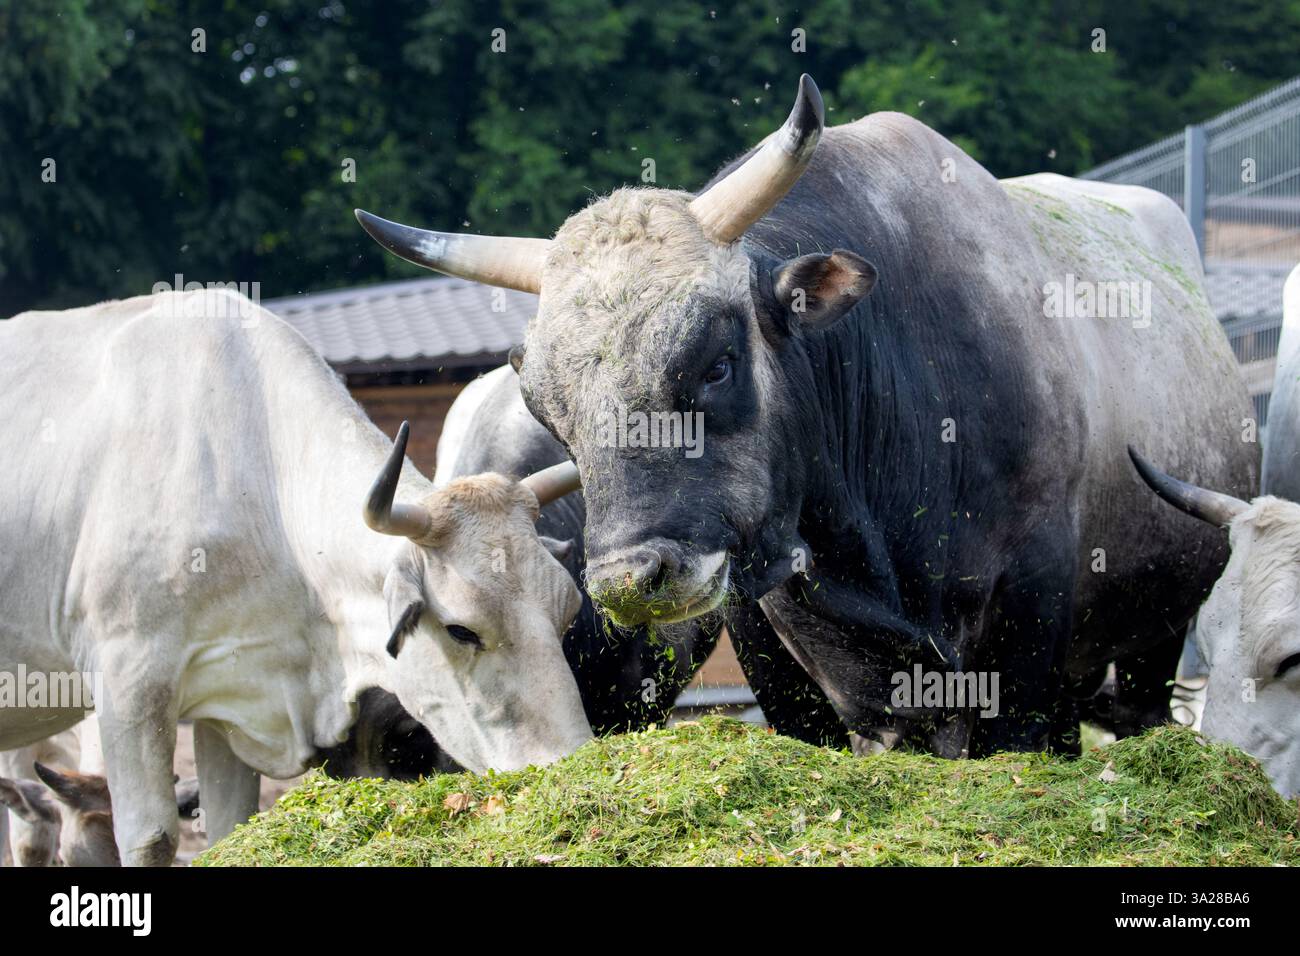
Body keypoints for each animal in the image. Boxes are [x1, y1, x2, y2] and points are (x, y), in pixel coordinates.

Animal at [0, 289, 592, 865]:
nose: (566, 764)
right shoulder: (128, 681)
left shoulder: (226, 702)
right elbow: (151, 840)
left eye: (565, 616)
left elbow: (228, 829)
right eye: (461, 630)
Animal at [355, 73, 1258, 757]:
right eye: (550, 409)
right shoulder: (810, 665)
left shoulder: (1028, 632)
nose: (628, 583)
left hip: (1153, 639)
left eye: (717, 363)